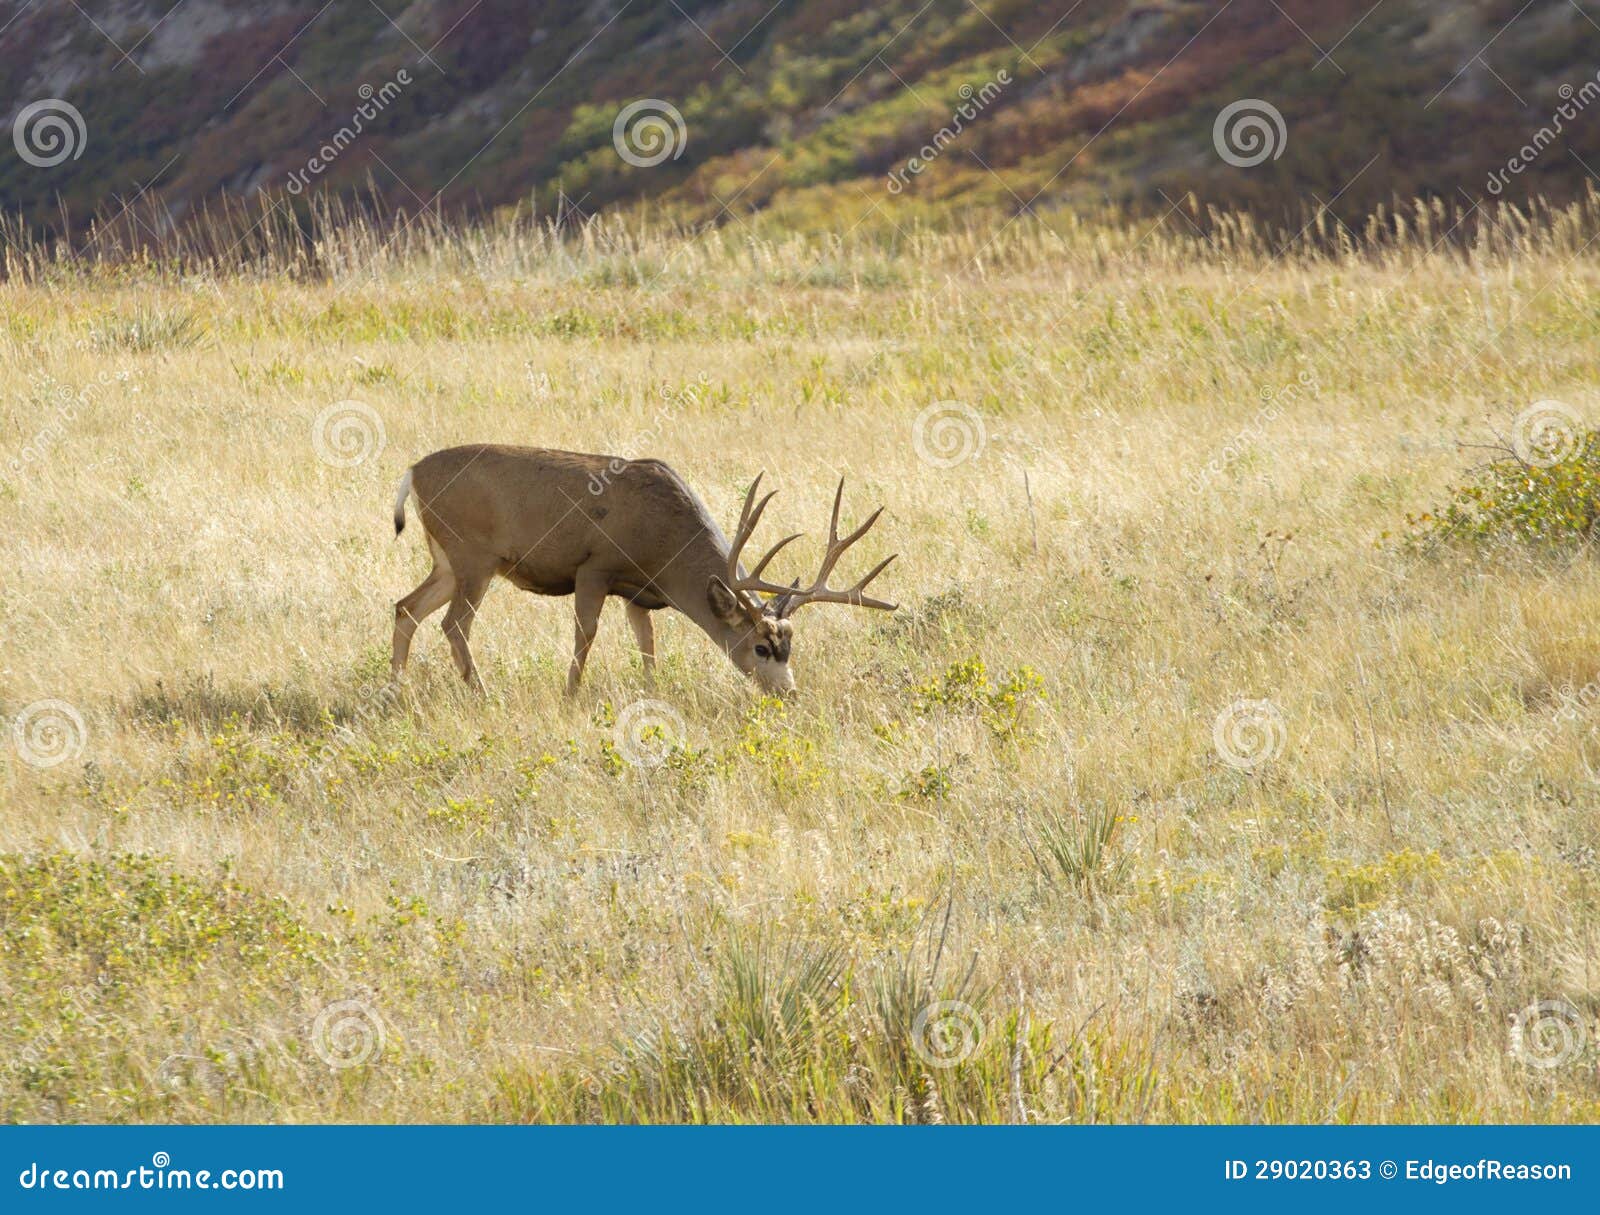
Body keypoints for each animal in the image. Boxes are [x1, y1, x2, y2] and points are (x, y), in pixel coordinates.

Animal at [389, 445, 897, 696]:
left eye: (790, 645)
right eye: (760, 646)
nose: (788, 694)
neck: (665, 544)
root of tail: (412, 472)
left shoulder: (638, 593)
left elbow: (647, 643)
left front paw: (653, 690)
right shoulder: (594, 567)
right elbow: (586, 633)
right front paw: (571, 695)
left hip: (446, 561)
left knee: (405, 608)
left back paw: (395, 691)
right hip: (473, 556)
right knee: (454, 624)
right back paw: (482, 693)